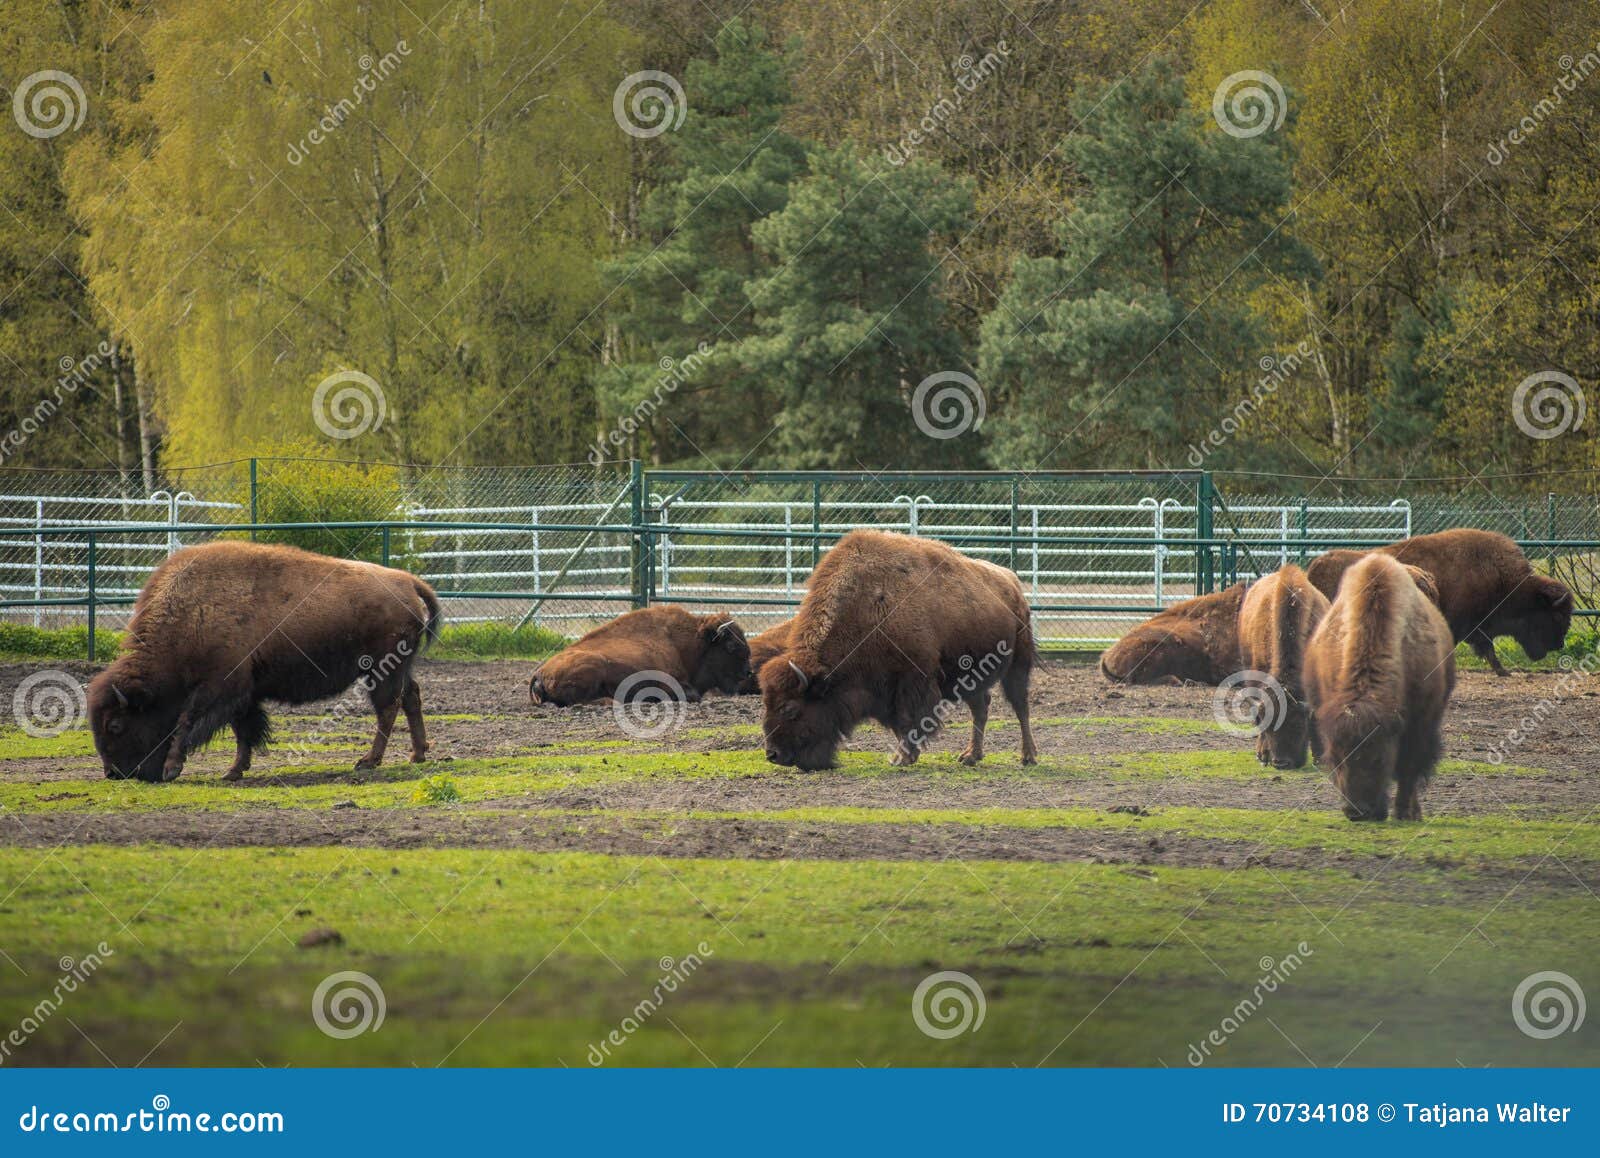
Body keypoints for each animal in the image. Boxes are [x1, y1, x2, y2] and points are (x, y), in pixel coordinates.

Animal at [87, 541, 440, 782]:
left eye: (115, 724)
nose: (113, 773)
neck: (191, 617)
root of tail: (408, 581)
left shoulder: (220, 687)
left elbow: (188, 722)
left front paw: (172, 768)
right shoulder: (244, 693)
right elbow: (244, 728)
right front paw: (234, 771)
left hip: (380, 670)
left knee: (388, 707)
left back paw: (369, 761)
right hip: (398, 668)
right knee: (411, 697)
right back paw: (417, 754)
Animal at [759, 530, 1037, 771]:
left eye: (789, 708)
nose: (773, 755)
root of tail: (1012, 583)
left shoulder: (912, 683)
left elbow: (907, 721)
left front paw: (902, 758)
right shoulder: (885, 691)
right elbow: (898, 724)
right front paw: (907, 756)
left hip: (1017, 665)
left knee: (1020, 706)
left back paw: (1028, 757)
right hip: (971, 675)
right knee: (981, 708)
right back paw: (970, 756)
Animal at [1303, 555, 1455, 821]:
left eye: (1378, 758)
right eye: (1338, 758)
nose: (1357, 811)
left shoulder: (1419, 722)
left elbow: (1409, 768)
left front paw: (1403, 812)